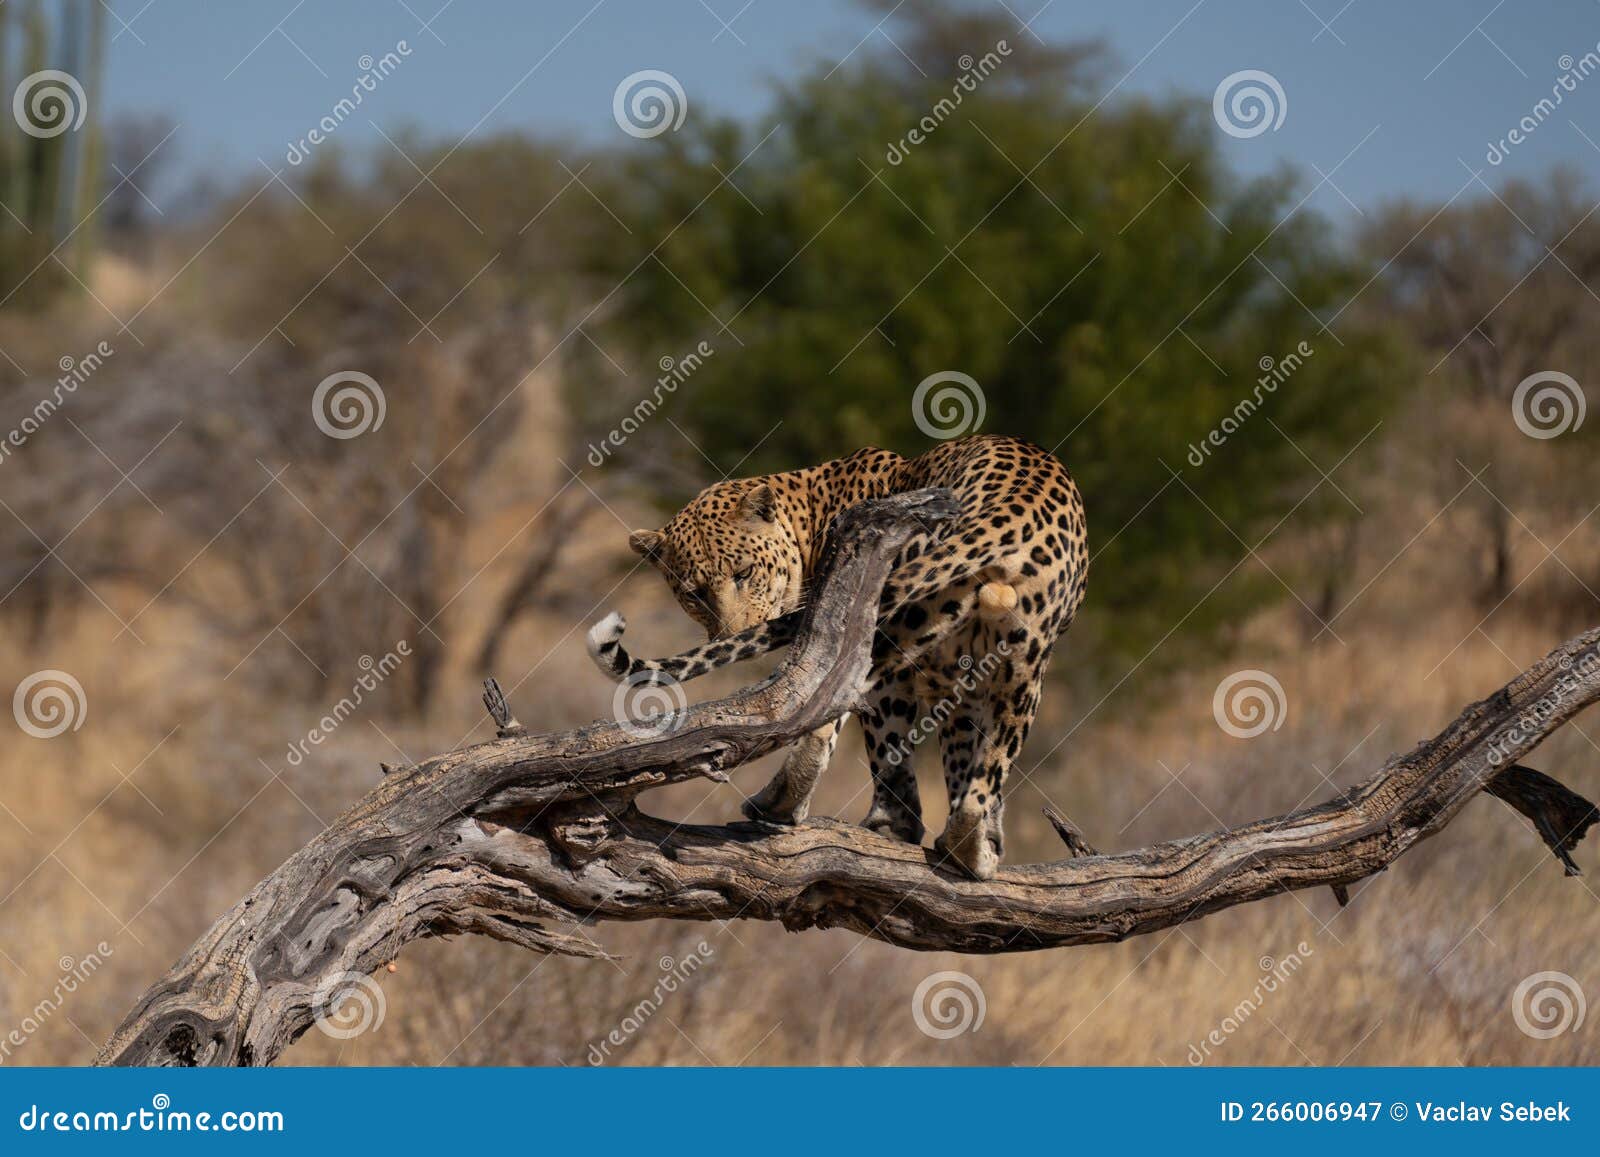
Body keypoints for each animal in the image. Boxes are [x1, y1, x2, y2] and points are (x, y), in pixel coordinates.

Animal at [586, 433, 1088, 880]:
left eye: (744, 572)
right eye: (694, 595)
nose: (735, 632)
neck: (808, 518)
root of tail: (1005, 515)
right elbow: (968, 761)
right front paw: (987, 839)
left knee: (835, 718)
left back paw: (797, 808)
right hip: (1019, 668)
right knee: (975, 765)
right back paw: (959, 844)